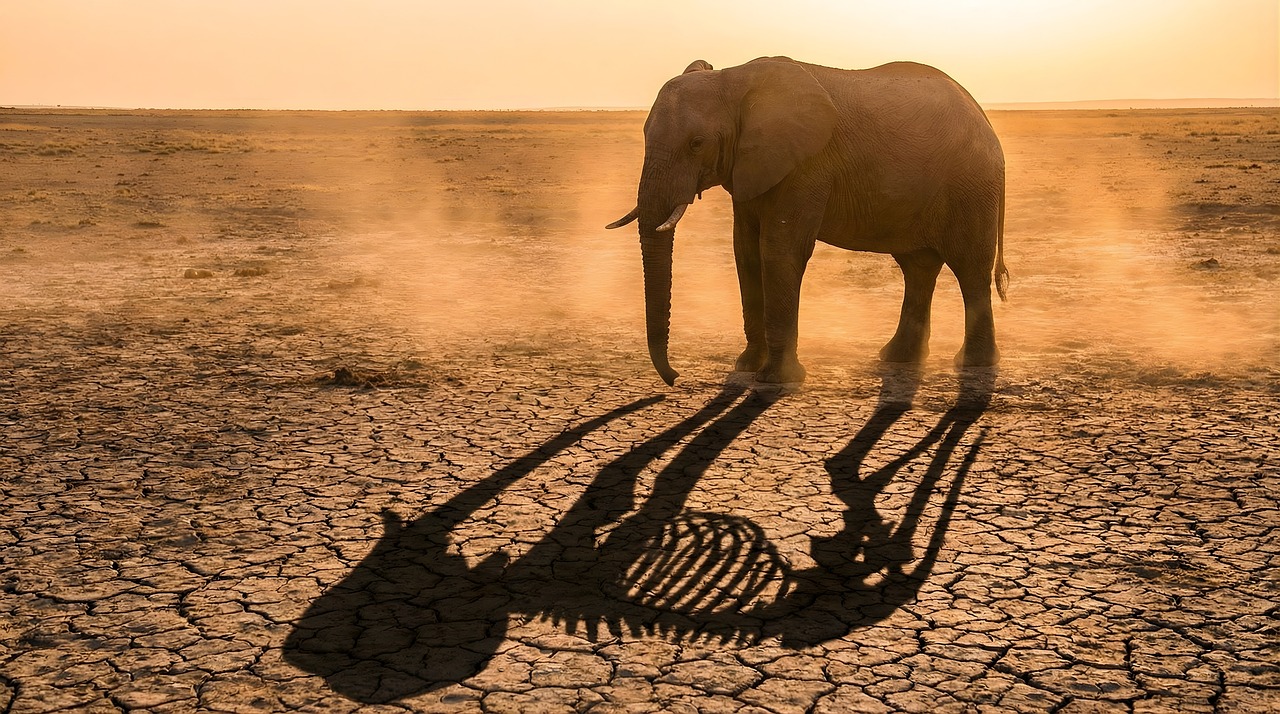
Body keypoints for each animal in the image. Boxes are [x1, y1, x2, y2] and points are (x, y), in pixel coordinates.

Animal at [607, 57, 1008, 386]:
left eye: (696, 143)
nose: (675, 377)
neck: (734, 80)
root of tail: (984, 116)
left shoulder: (807, 165)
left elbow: (779, 251)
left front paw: (775, 379)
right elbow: (745, 253)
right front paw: (746, 367)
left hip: (972, 185)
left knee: (970, 268)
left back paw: (973, 365)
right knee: (918, 267)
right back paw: (898, 358)